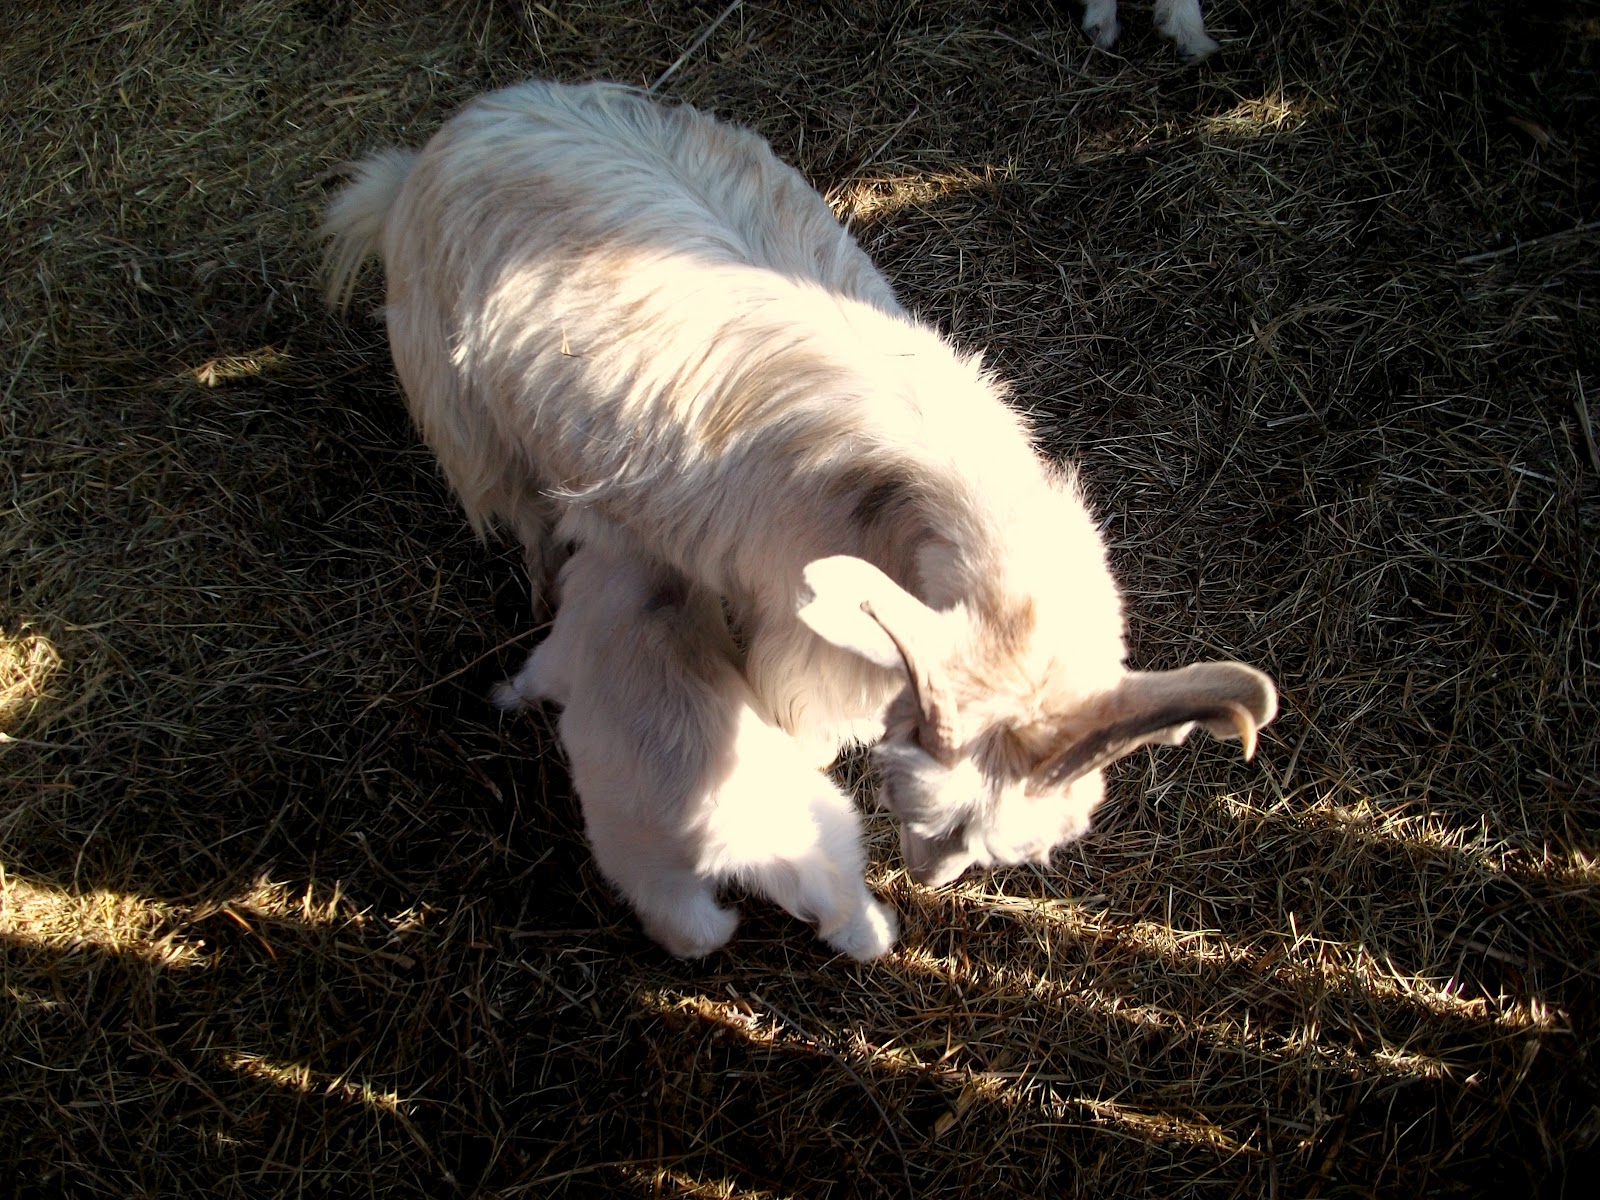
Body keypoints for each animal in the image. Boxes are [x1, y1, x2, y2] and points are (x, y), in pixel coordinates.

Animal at [323, 79, 1277, 887]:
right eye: (917, 798)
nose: (929, 881)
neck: (913, 488)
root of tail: (434, 149)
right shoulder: (805, 660)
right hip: (468, 415)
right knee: (520, 513)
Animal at [495, 541, 897, 960]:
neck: (655, 576)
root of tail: (757, 837)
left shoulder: (557, 650)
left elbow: (530, 679)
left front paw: (503, 696)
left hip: (645, 867)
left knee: (697, 928)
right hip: (833, 825)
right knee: (842, 901)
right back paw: (878, 933)